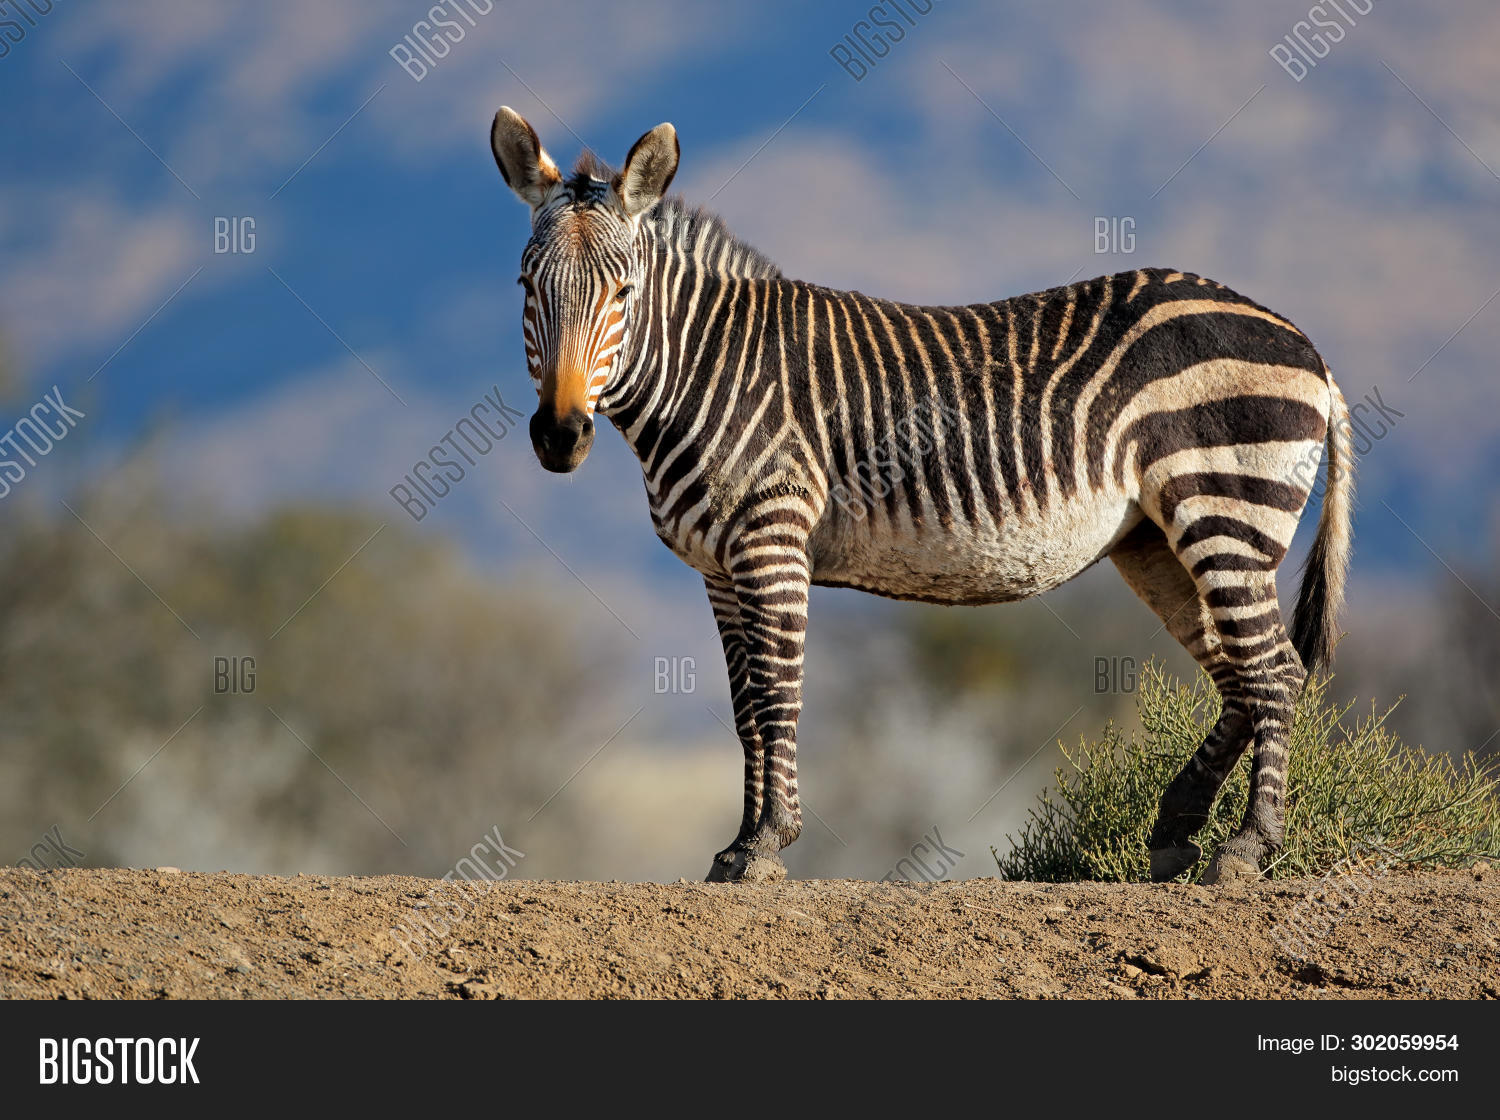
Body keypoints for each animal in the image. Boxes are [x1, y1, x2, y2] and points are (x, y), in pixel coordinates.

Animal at [490, 107, 1353, 886]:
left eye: (623, 292)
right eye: (528, 286)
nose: (560, 435)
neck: (708, 369)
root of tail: (1303, 343)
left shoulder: (772, 542)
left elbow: (774, 693)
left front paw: (768, 844)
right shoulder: (719, 568)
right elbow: (742, 707)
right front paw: (736, 846)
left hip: (1225, 513)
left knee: (1274, 671)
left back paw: (1247, 849)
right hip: (1155, 543)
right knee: (1240, 676)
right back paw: (1176, 833)